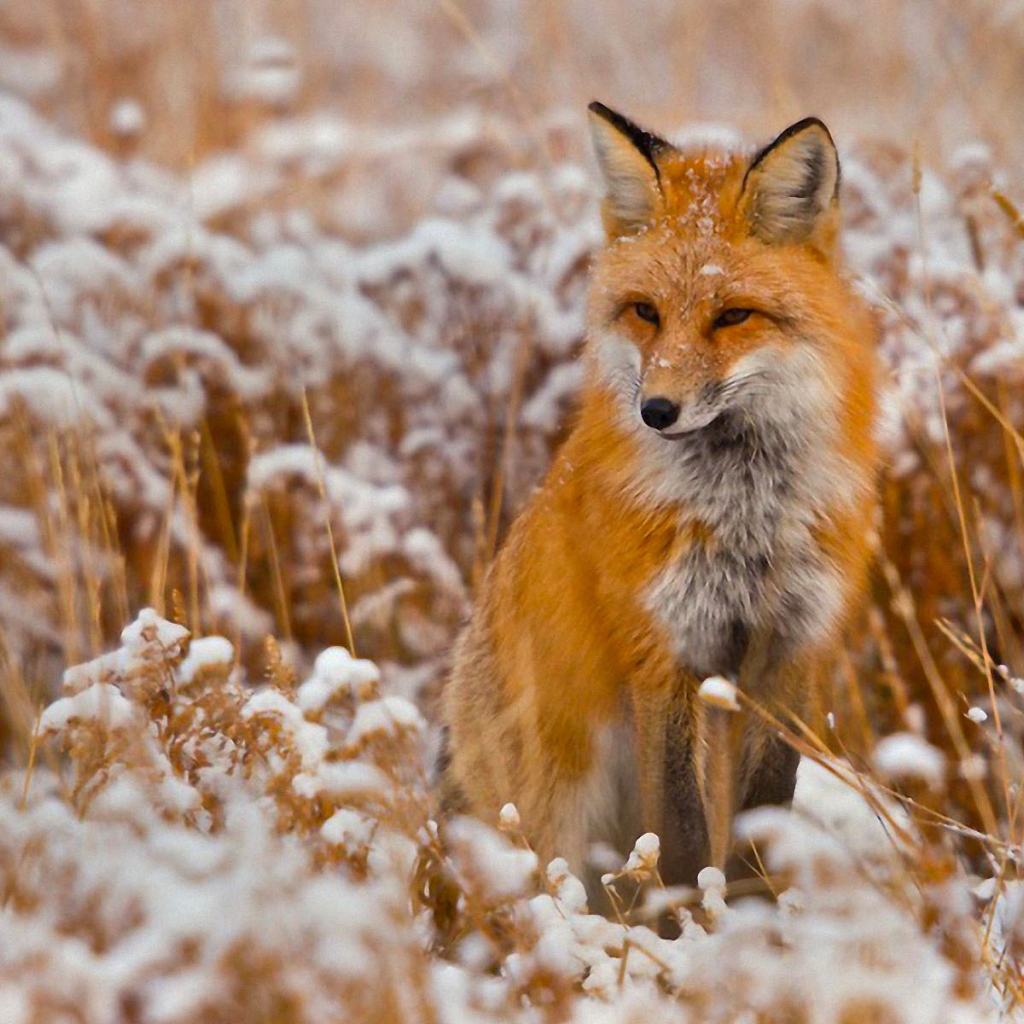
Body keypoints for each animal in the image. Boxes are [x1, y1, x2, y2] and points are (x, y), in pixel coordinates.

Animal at [440, 103, 879, 889]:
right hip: (557, 806)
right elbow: (676, 834)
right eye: (645, 312)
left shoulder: (791, 650)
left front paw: (752, 913)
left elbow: (764, 816)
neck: (745, 515)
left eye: (733, 316)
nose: (657, 410)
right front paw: (686, 913)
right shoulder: (663, 651)